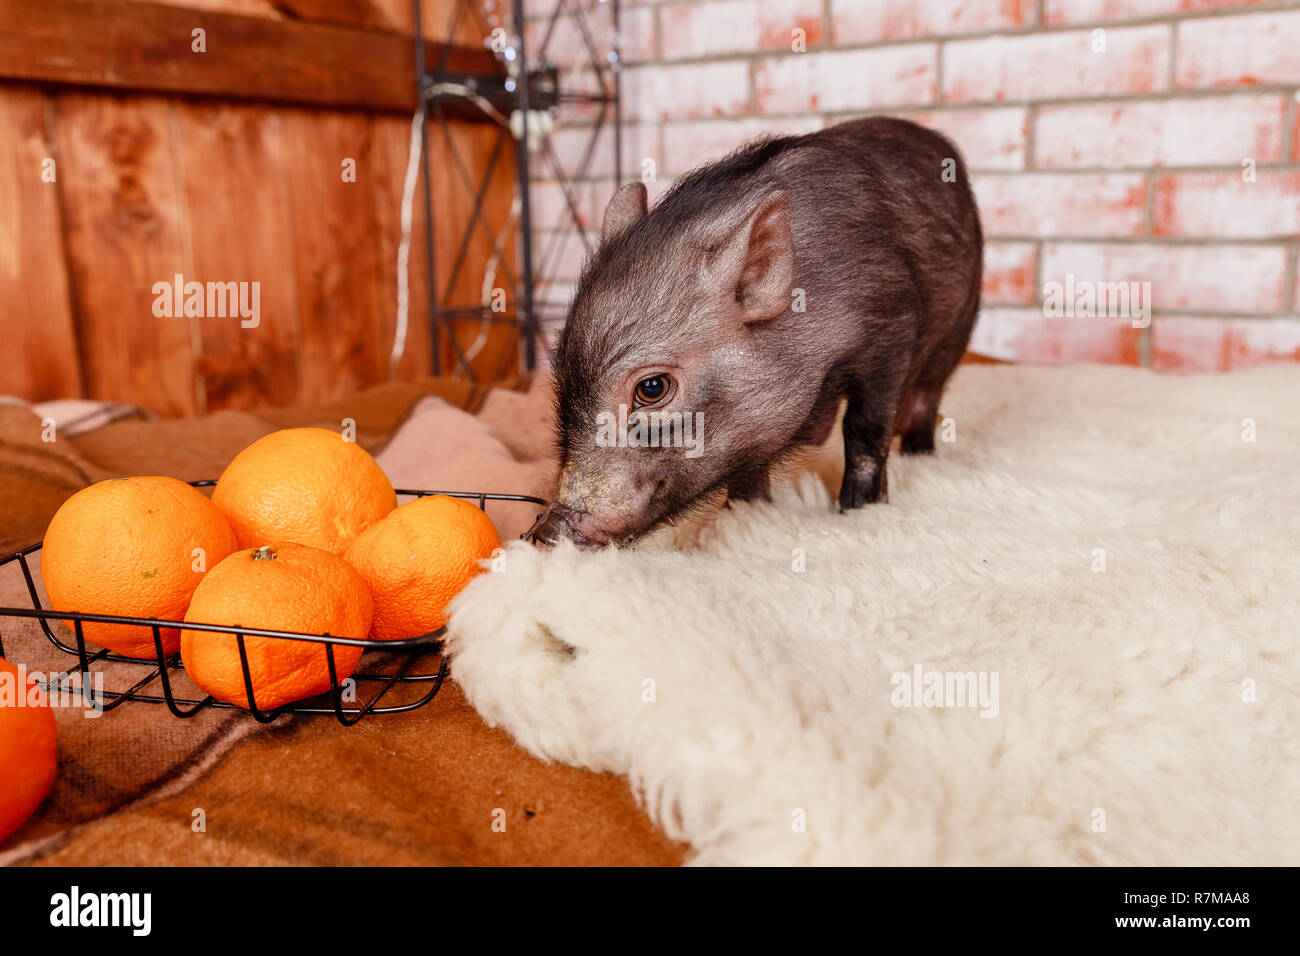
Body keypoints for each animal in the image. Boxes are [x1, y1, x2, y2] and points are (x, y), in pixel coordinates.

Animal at [528, 117, 983, 548]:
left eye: (652, 387)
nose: (546, 532)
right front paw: (747, 512)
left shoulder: (892, 333)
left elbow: (865, 433)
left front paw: (856, 510)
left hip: (959, 327)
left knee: (927, 392)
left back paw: (919, 453)